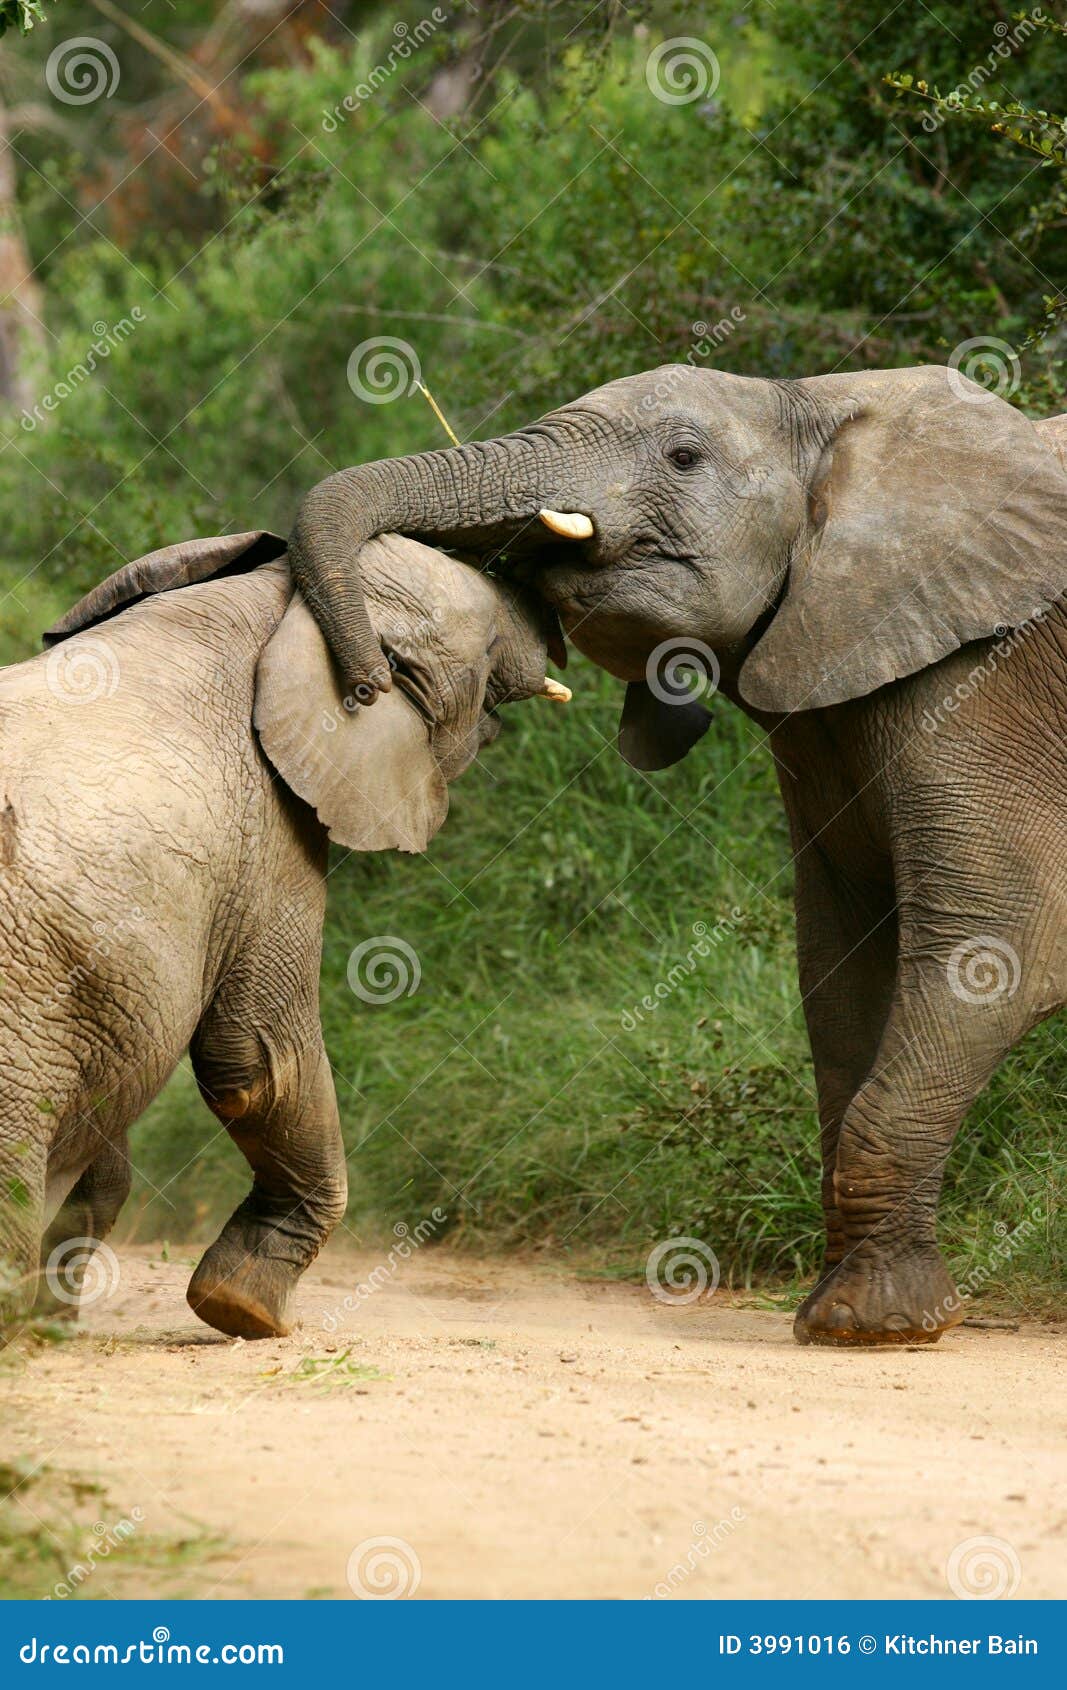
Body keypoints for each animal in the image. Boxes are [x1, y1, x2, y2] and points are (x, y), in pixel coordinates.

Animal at [0, 527, 565, 1340]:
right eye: (490, 646)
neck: (278, 602)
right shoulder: (269, 832)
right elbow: (261, 1057)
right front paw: (247, 1311)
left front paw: (59, 1317)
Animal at [286, 363, 1067, 1347]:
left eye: (684, 456)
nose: (365, 686)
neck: (824, 403)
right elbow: (842, 965)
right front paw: (837, 1311)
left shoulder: (980, 680)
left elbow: (995, 951)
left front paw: (870, 1327)